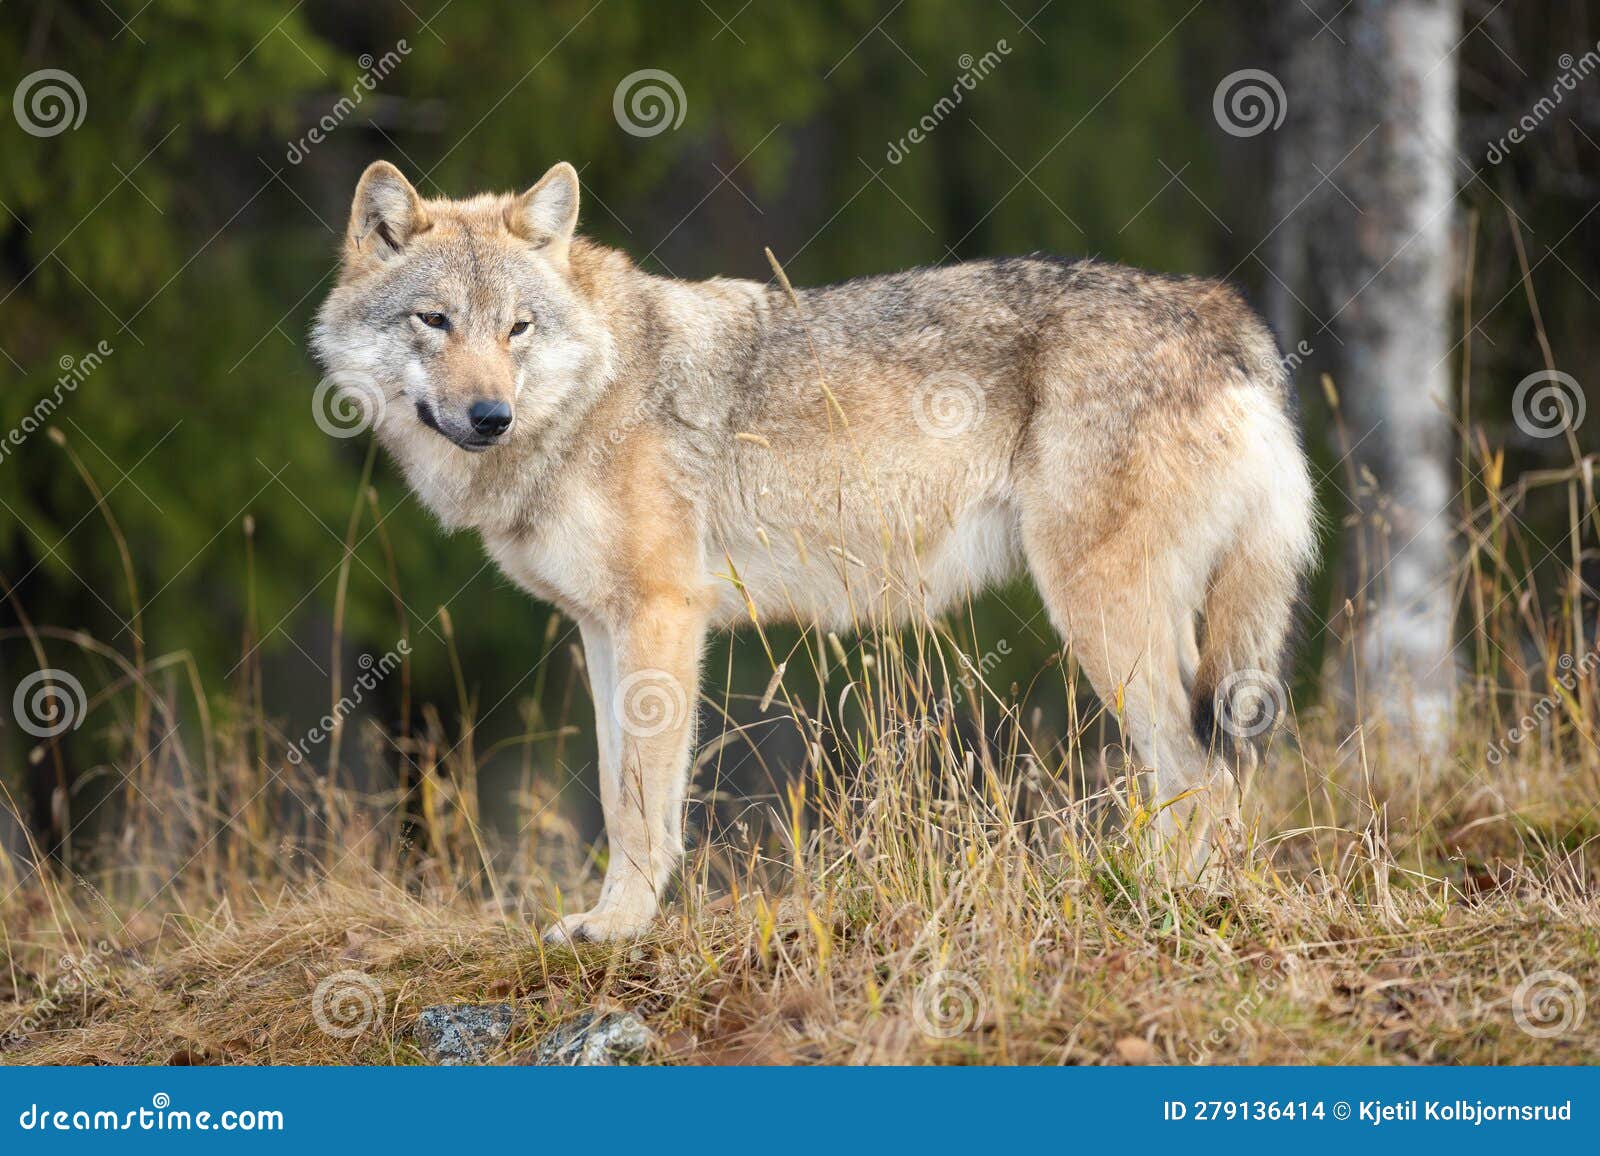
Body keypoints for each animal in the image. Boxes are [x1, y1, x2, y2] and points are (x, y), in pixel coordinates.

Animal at [312, 160, 1317, 942]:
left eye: (517, 327)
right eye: (435, 321)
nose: (491, 415)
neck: (590, 393)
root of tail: (1222, 312)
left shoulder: (663, 616)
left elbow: (639, 802)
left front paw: (618, 928)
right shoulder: (602, 628)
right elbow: (615, 783)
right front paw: (612, 918)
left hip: (1103, 617)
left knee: (1201, 774)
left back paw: (1163, 902)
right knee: (1209, 775)